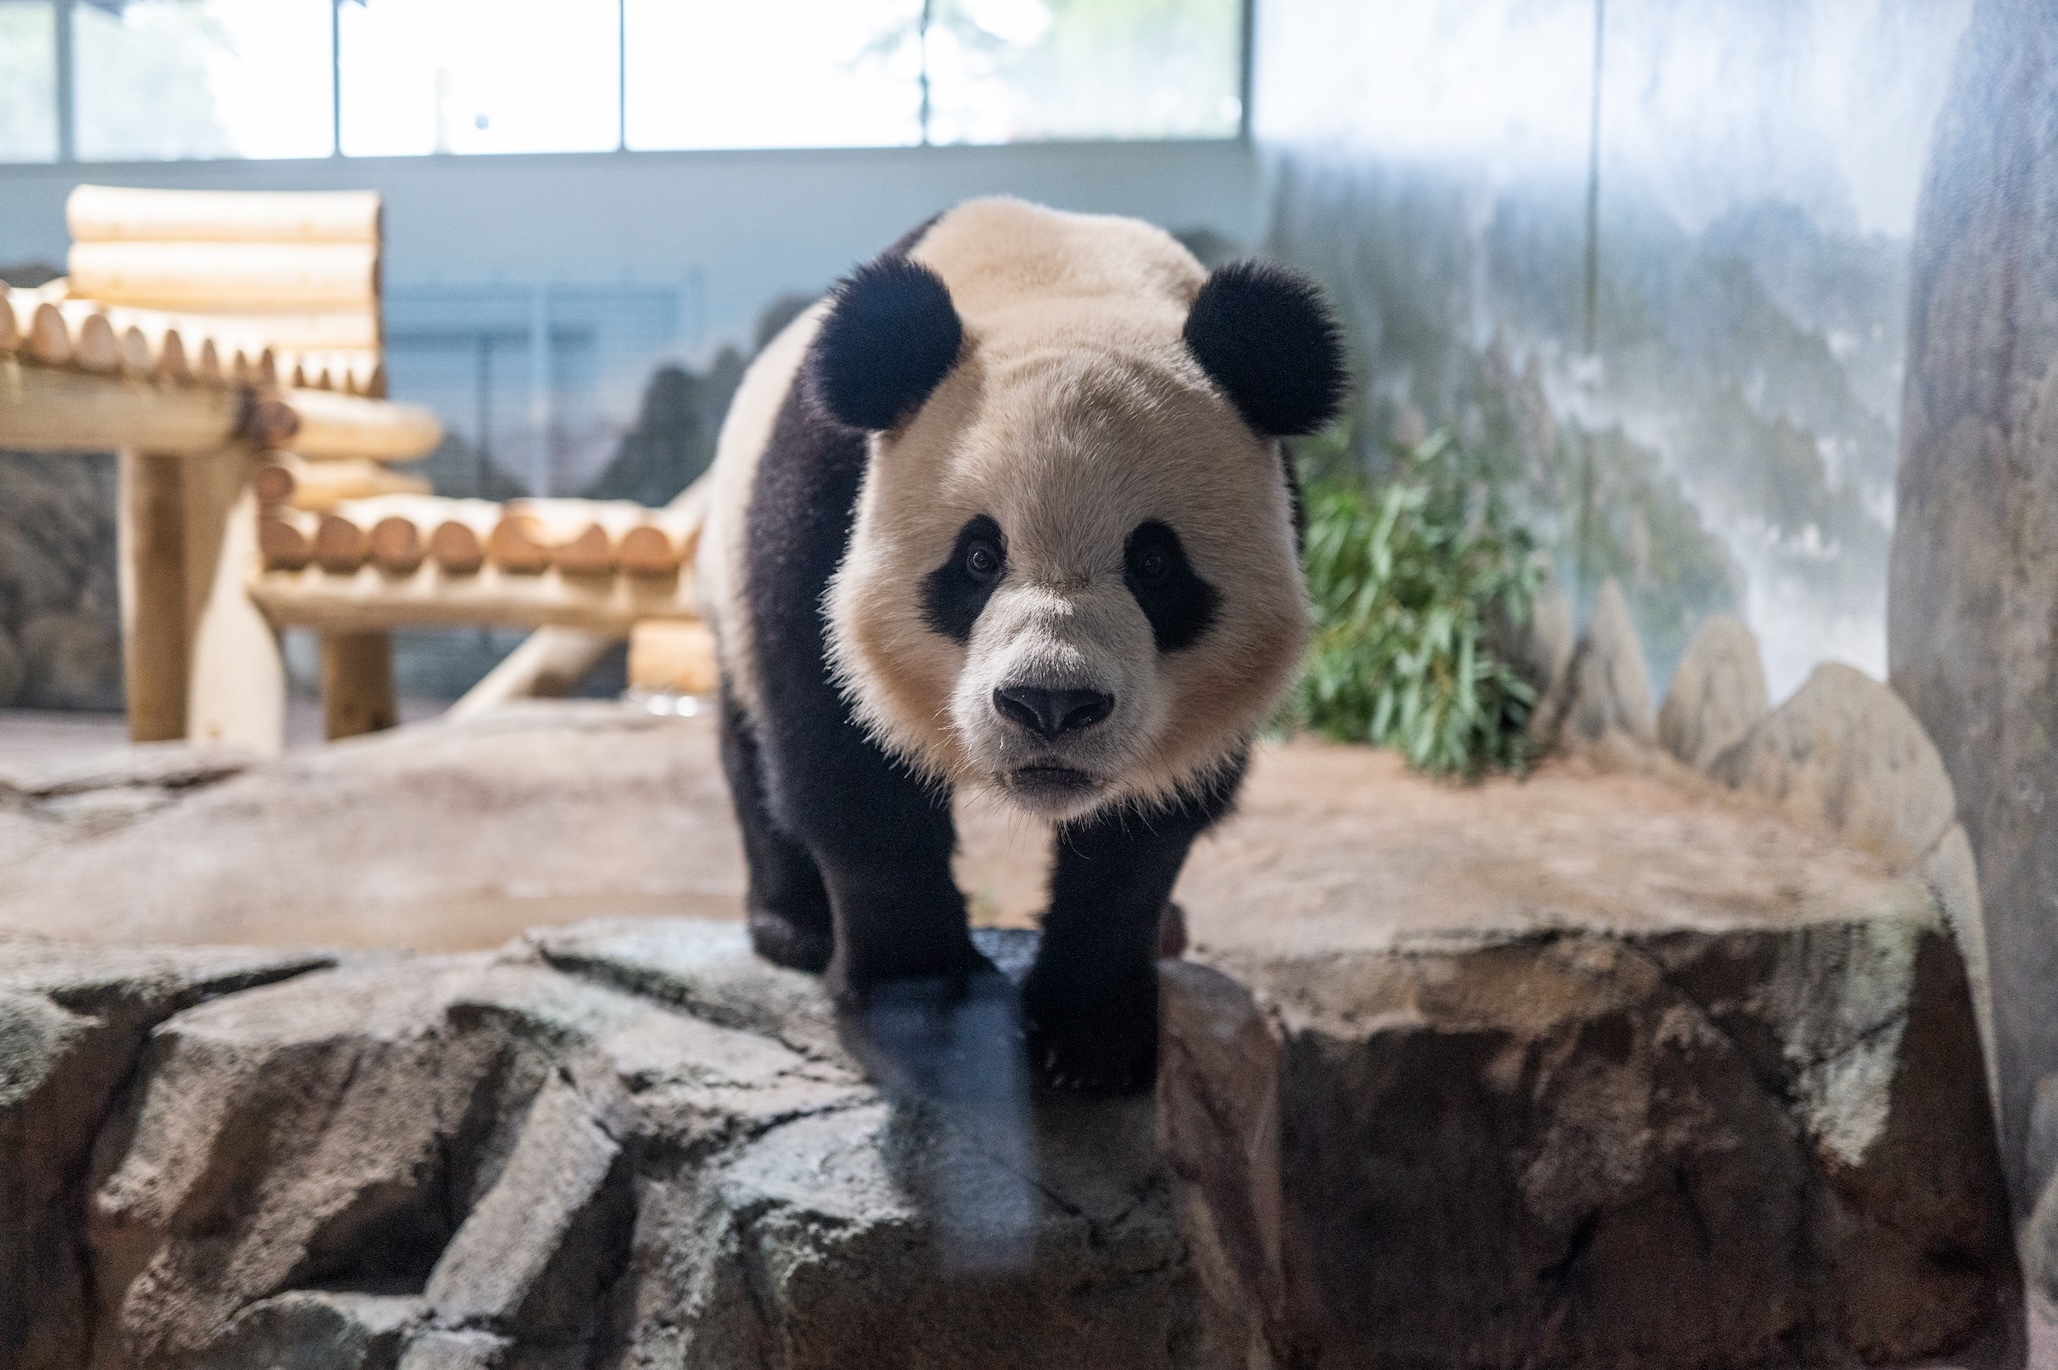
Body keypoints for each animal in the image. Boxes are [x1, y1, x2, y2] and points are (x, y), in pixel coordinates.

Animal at [698, 197, 1345, 1095]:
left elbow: (1145, 835)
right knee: (752, 743)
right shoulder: (822, 500)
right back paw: (792, 925)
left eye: (1154, 563)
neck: (1058, 279)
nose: (1050, 704)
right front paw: (917, 995)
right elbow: (842, 753)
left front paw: (1092, 1036)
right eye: (979, 557)